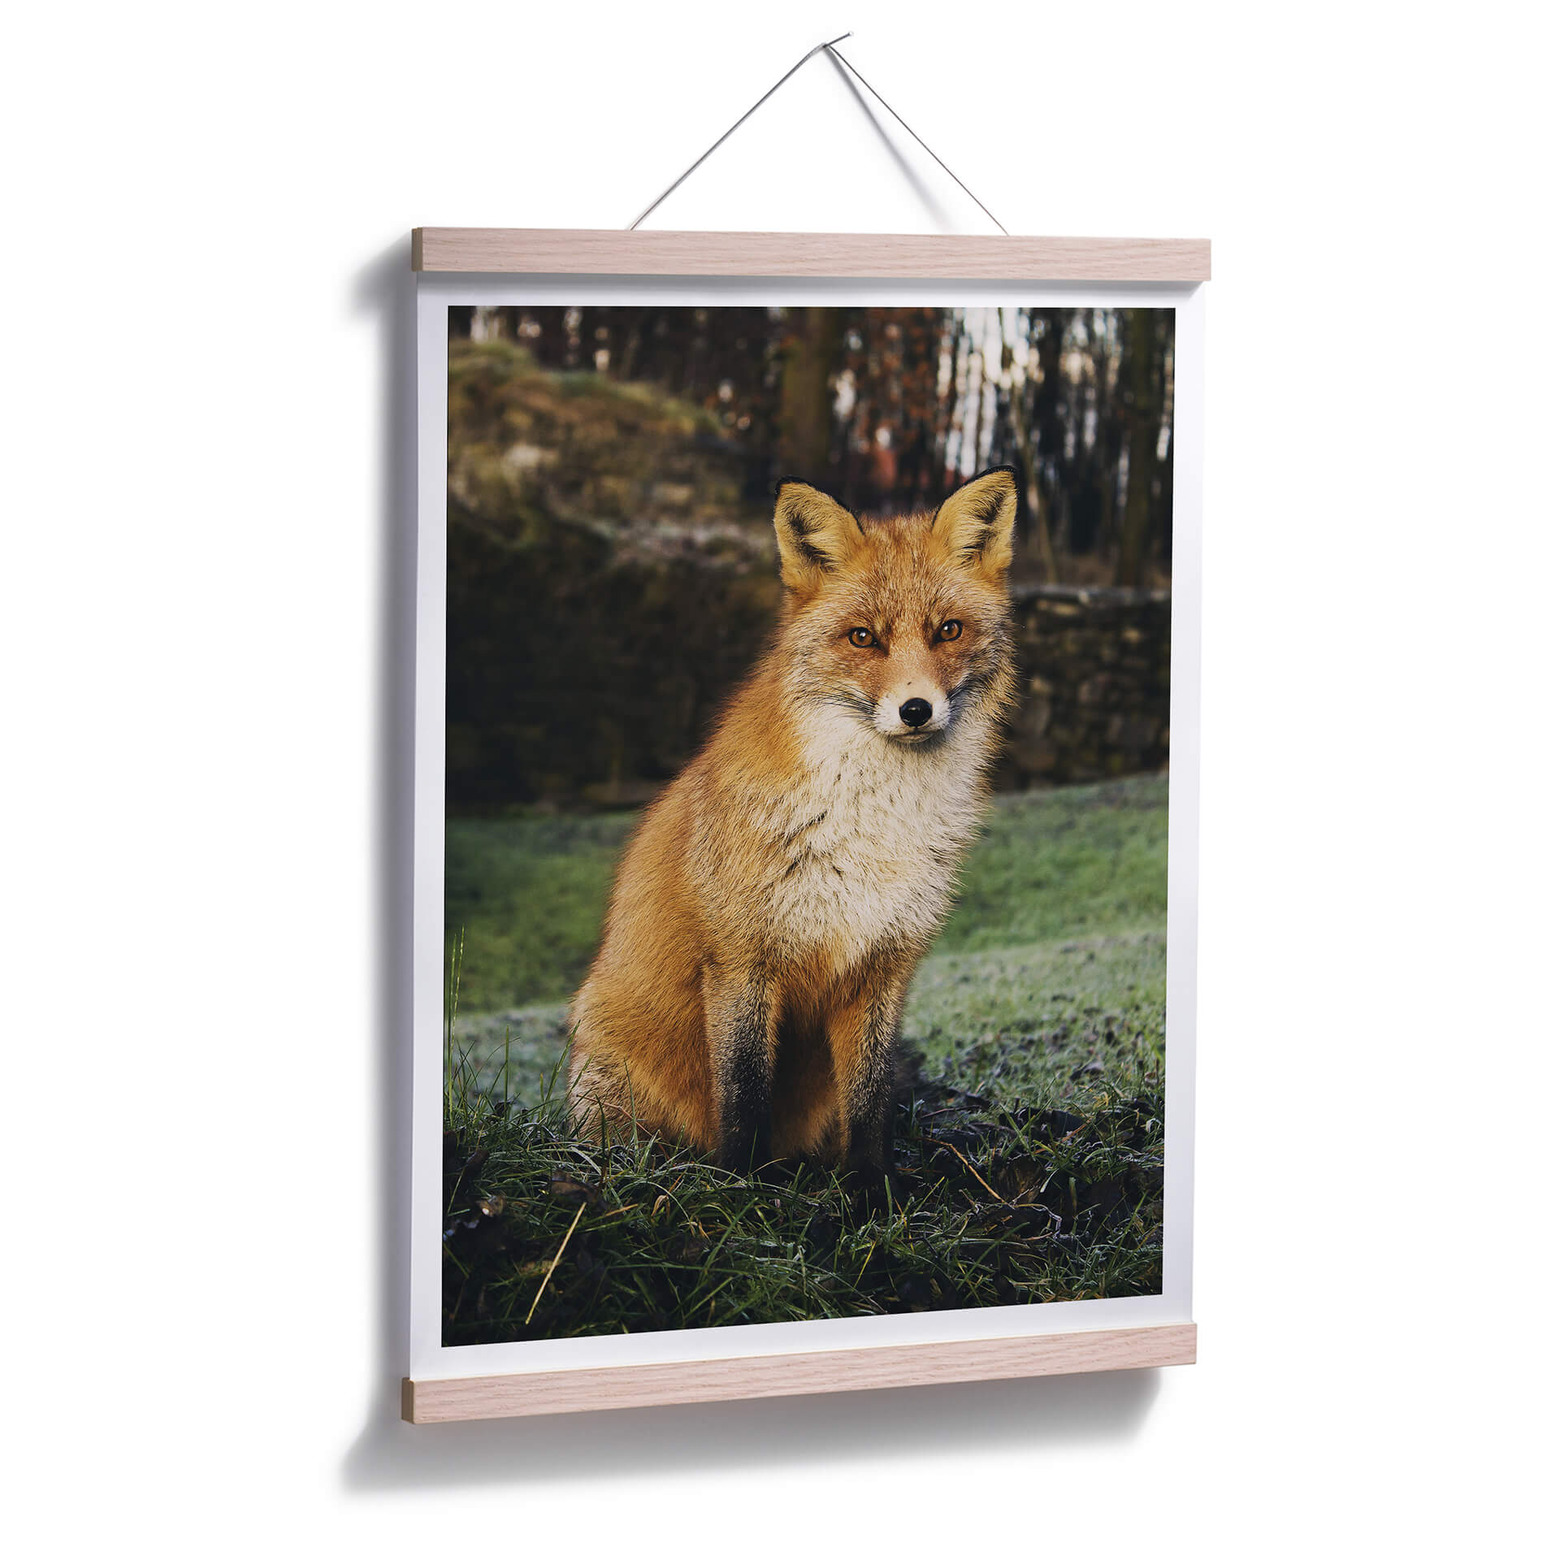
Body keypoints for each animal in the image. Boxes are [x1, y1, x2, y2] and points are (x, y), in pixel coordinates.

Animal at [566, 465, 1020, 1179]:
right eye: (863, 637)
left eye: (948, 630)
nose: (916, 709)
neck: (872, 825)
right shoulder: (741, 959)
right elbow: (744, 1094)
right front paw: (740, 1184)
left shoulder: (882, 965)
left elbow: (870, 1101)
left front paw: (872, 1189)